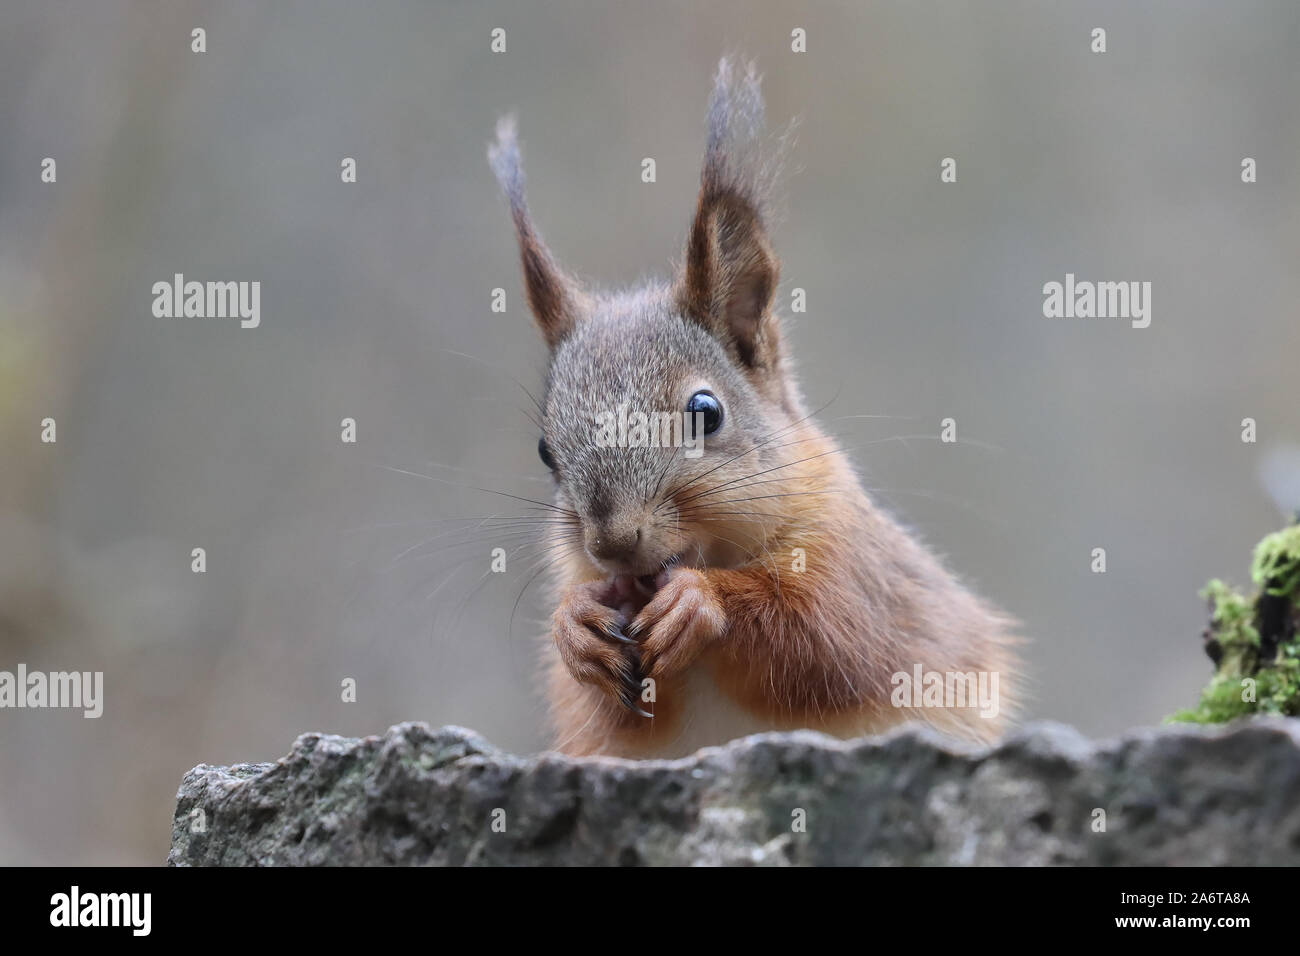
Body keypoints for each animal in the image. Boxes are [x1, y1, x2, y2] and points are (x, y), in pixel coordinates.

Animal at [488, 59, 1020, 758]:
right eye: (546, 451)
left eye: (706, 412)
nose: (613, 542)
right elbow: (609, 708)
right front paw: (575, 629)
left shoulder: (849, 560)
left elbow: (824, 634)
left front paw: (701, 602)